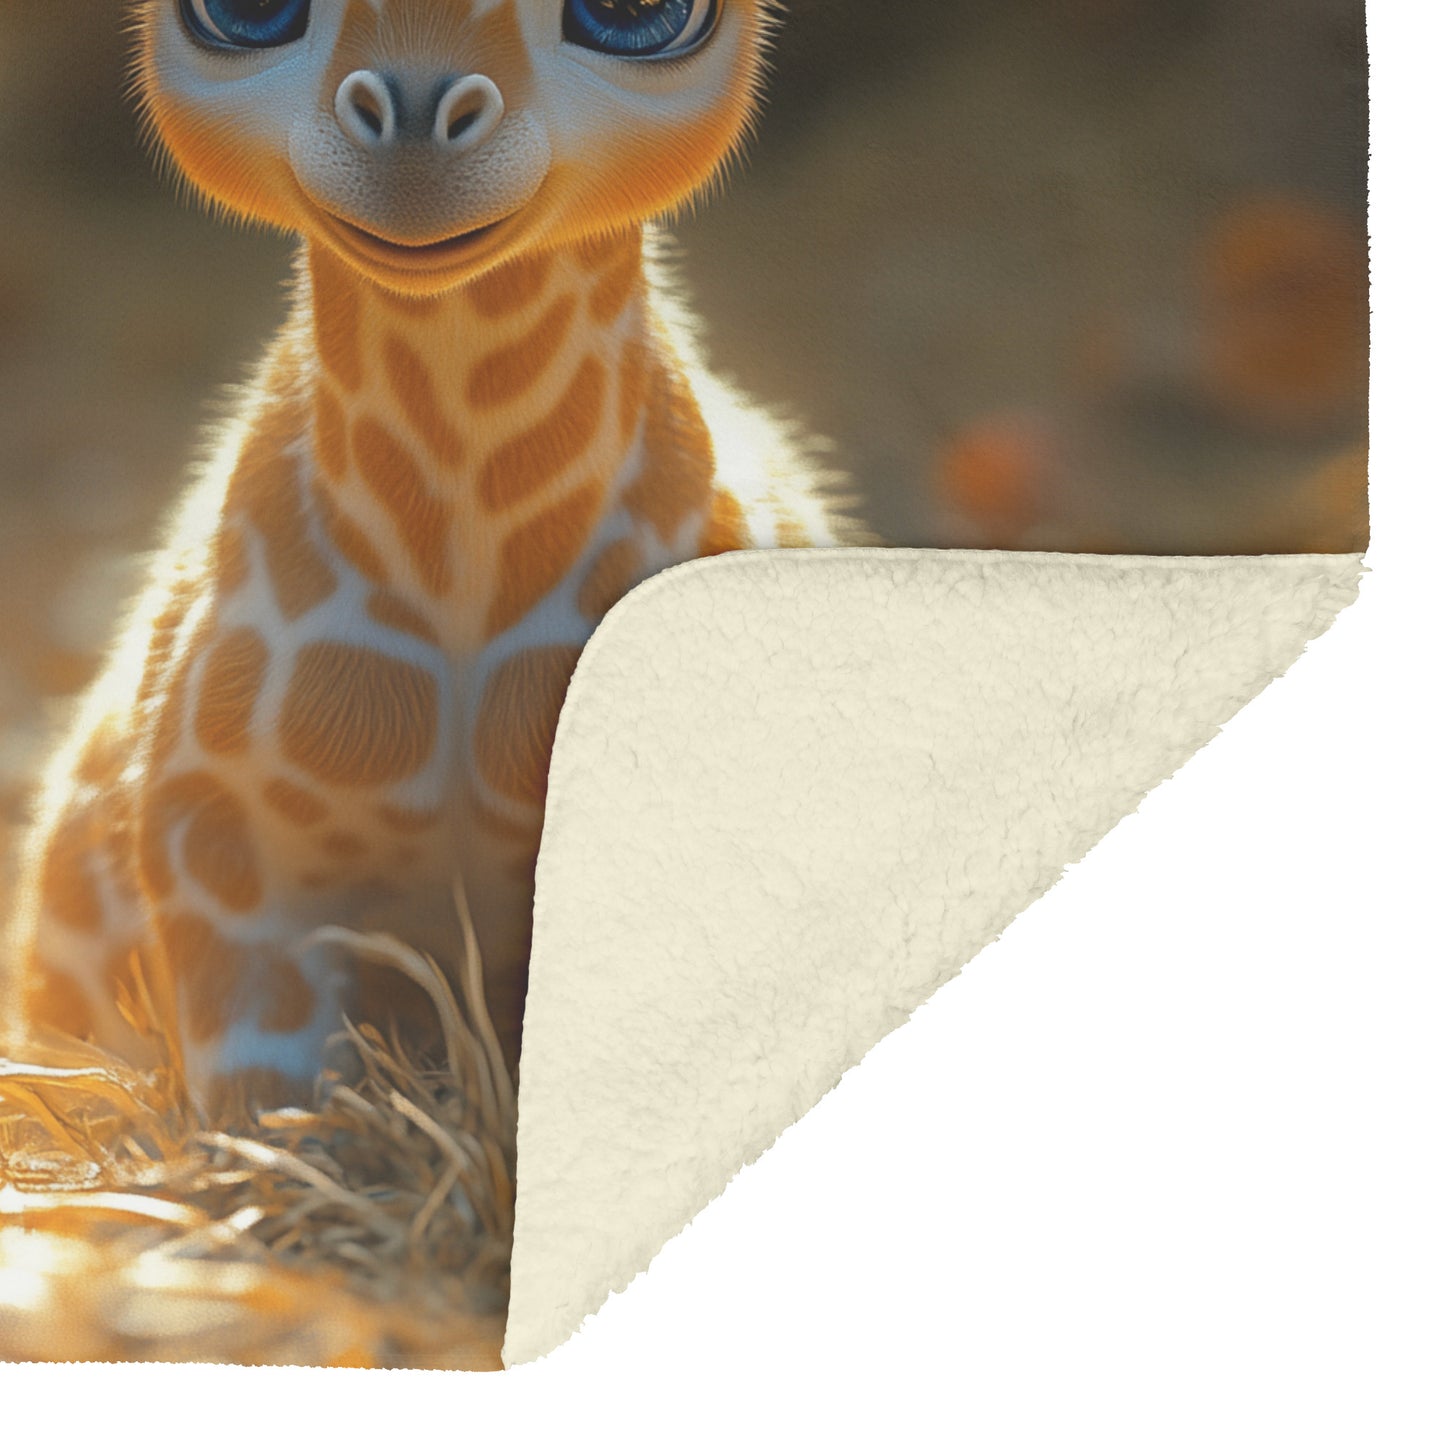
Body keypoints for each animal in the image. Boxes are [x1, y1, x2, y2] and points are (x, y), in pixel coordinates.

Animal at [1, 0, 852, 1108]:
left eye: (633, 14)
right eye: (245, 11)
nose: (411, 125)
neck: (462, 563)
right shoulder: (222, 854)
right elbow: (270, 1115)